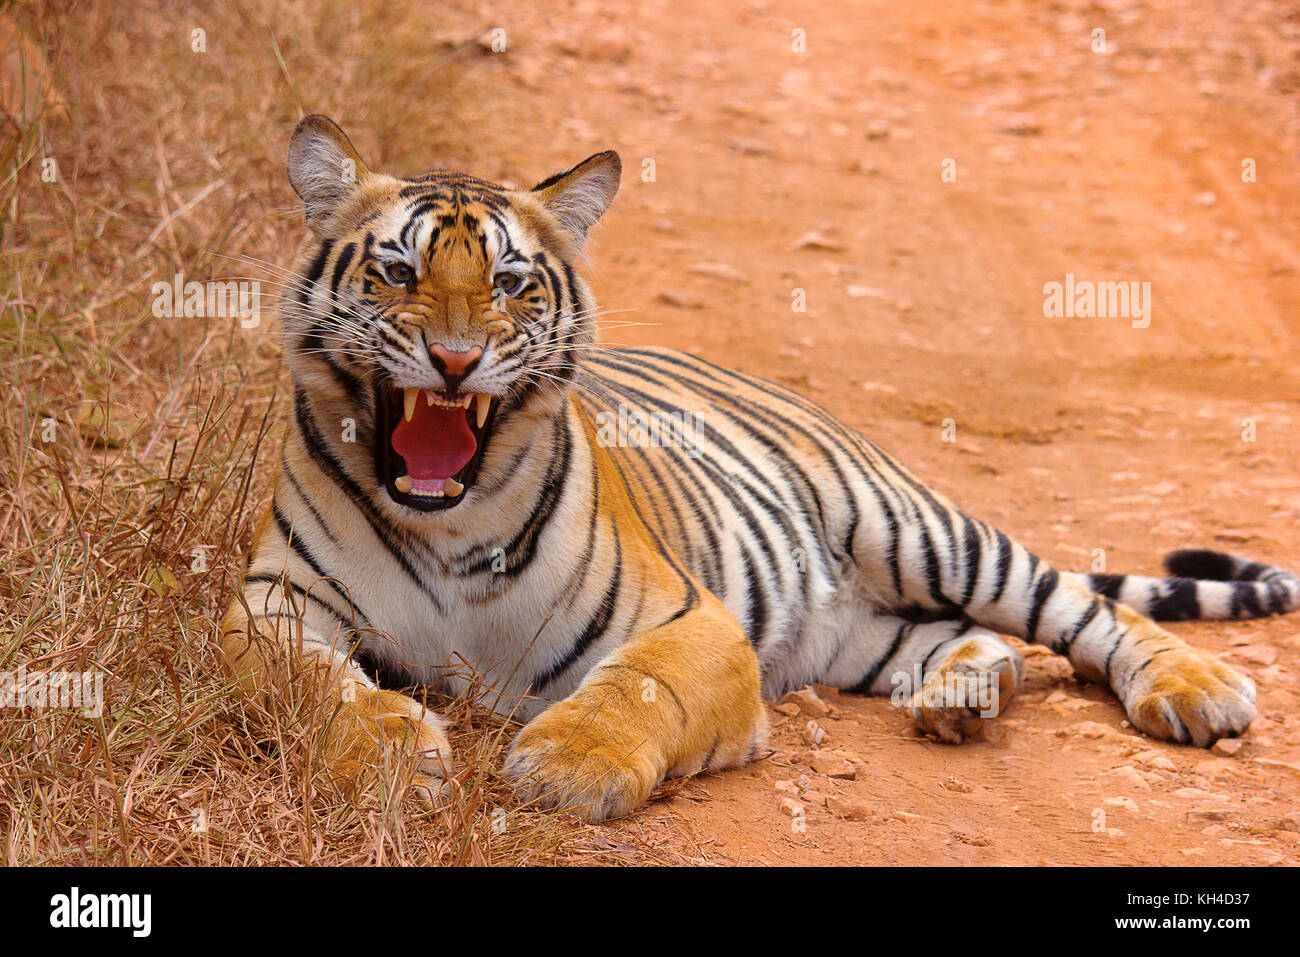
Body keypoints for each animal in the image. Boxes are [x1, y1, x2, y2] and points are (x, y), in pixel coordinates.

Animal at [220, 114, 1300, 822]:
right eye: (397, 271)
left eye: (511, 283)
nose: (453, 360)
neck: (450, 520)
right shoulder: (272, 600)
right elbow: (315, 680)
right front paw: (391, 751)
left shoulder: (691, 620)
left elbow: (637, 688)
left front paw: (567, 764)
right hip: (852, 631)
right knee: (983, 642)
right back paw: (957, 701)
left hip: (918, 531)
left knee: (1082, 611)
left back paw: (1198, 691)